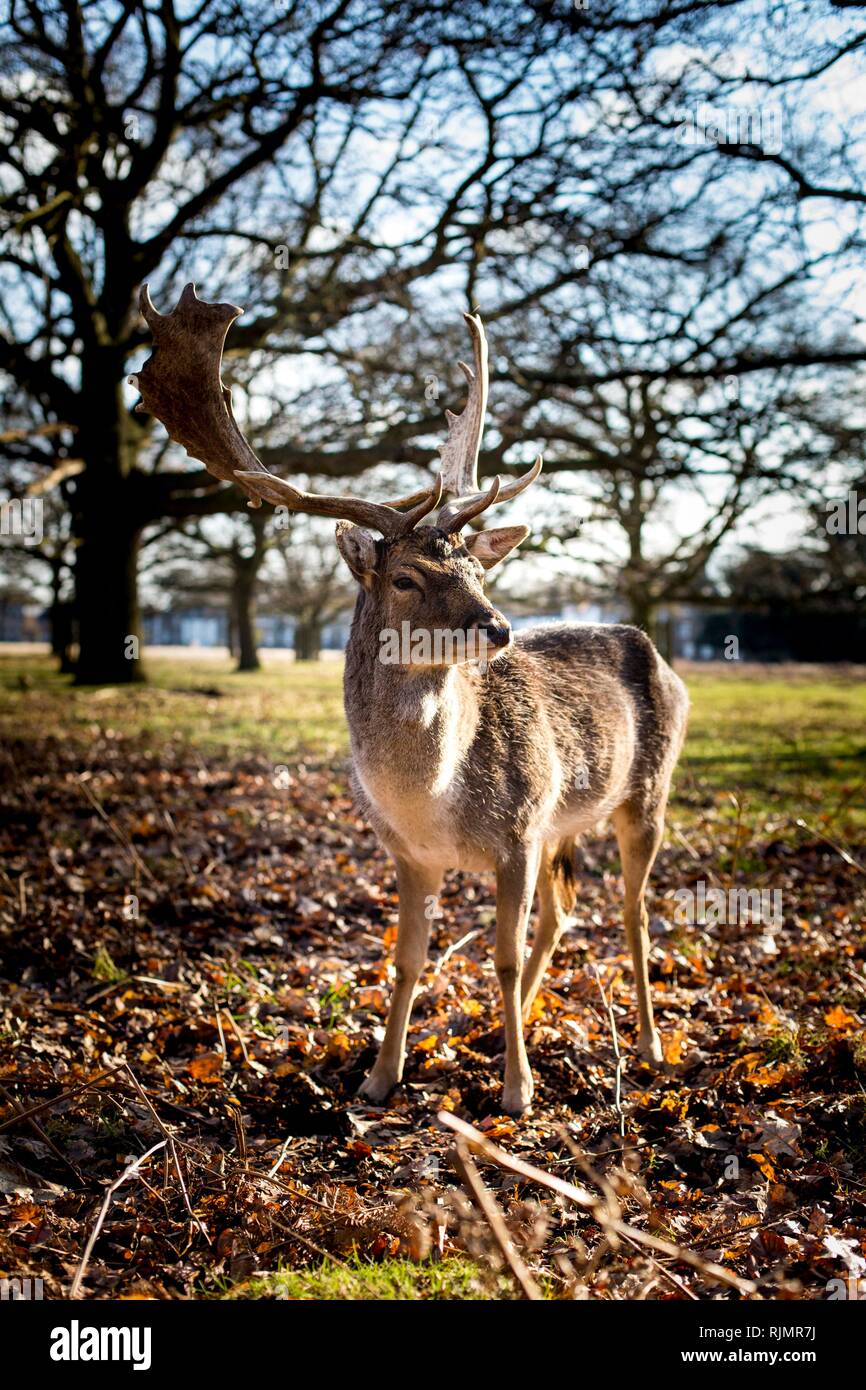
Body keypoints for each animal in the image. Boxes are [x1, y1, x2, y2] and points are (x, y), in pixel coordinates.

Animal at [133, 284, 689, 1116]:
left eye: (477, 570)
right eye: (404, 577)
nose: (499, 627)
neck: (432, 800)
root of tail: (662, 656)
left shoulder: (518, 832)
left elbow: (498, 953)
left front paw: (517, 1092)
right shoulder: (408, 853)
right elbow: (404, 961)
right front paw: (378, 1076)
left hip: (645, 794)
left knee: (634, 914)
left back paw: (648, 1044)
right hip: (568, 822)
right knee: (566, 910)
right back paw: (507, 1027)